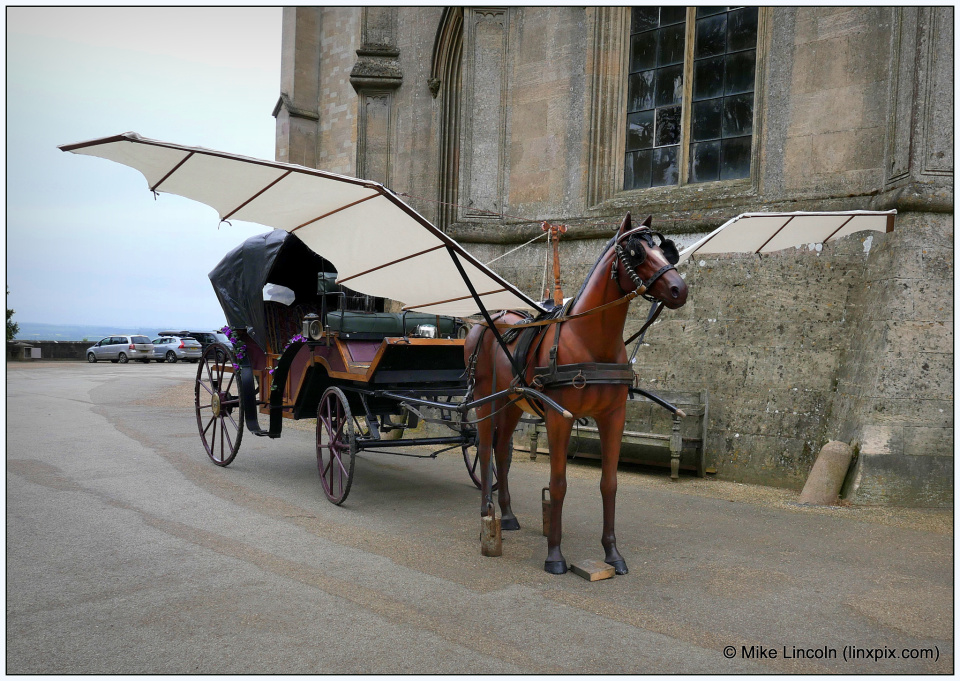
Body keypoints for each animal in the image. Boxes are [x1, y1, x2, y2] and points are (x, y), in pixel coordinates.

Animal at [463, 213, 688, 574]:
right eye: (637, 251)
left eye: (665, 250)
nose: (679, 289)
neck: (590, 340)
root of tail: (483, 322)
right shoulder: (559, 418)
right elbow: (558, 484)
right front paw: (555, 555)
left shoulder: (613, 417)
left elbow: (609, 484)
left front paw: (612, 553)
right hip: (488, 400)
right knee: (484, 450)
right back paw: (487, 515)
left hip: (513, 402)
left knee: (501, 449)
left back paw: (507, 515)